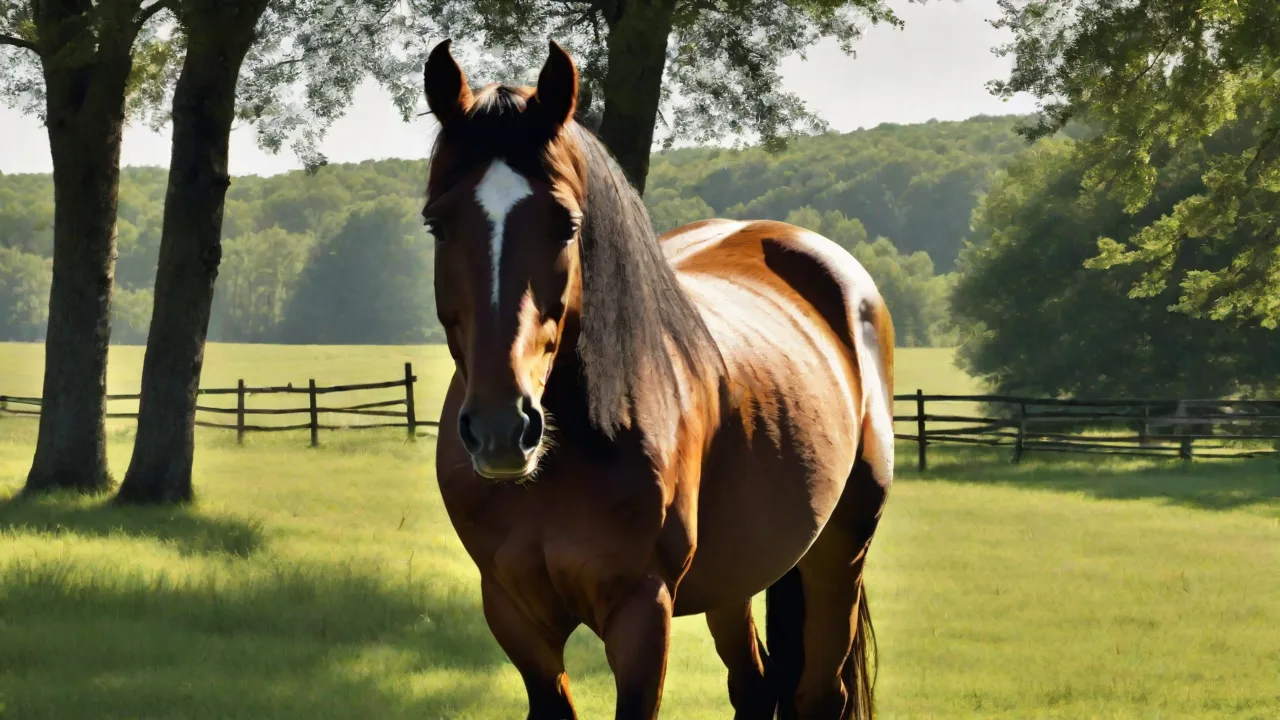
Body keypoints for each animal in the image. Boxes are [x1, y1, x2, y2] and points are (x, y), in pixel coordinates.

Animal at [423, 38, 897, 720]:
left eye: (568, 224)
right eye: (437, 223)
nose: (500, 431)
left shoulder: (643, 613)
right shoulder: (514, 614)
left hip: (840, 552)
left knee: (818, 694)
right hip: (738, 576)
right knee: (754, 684)